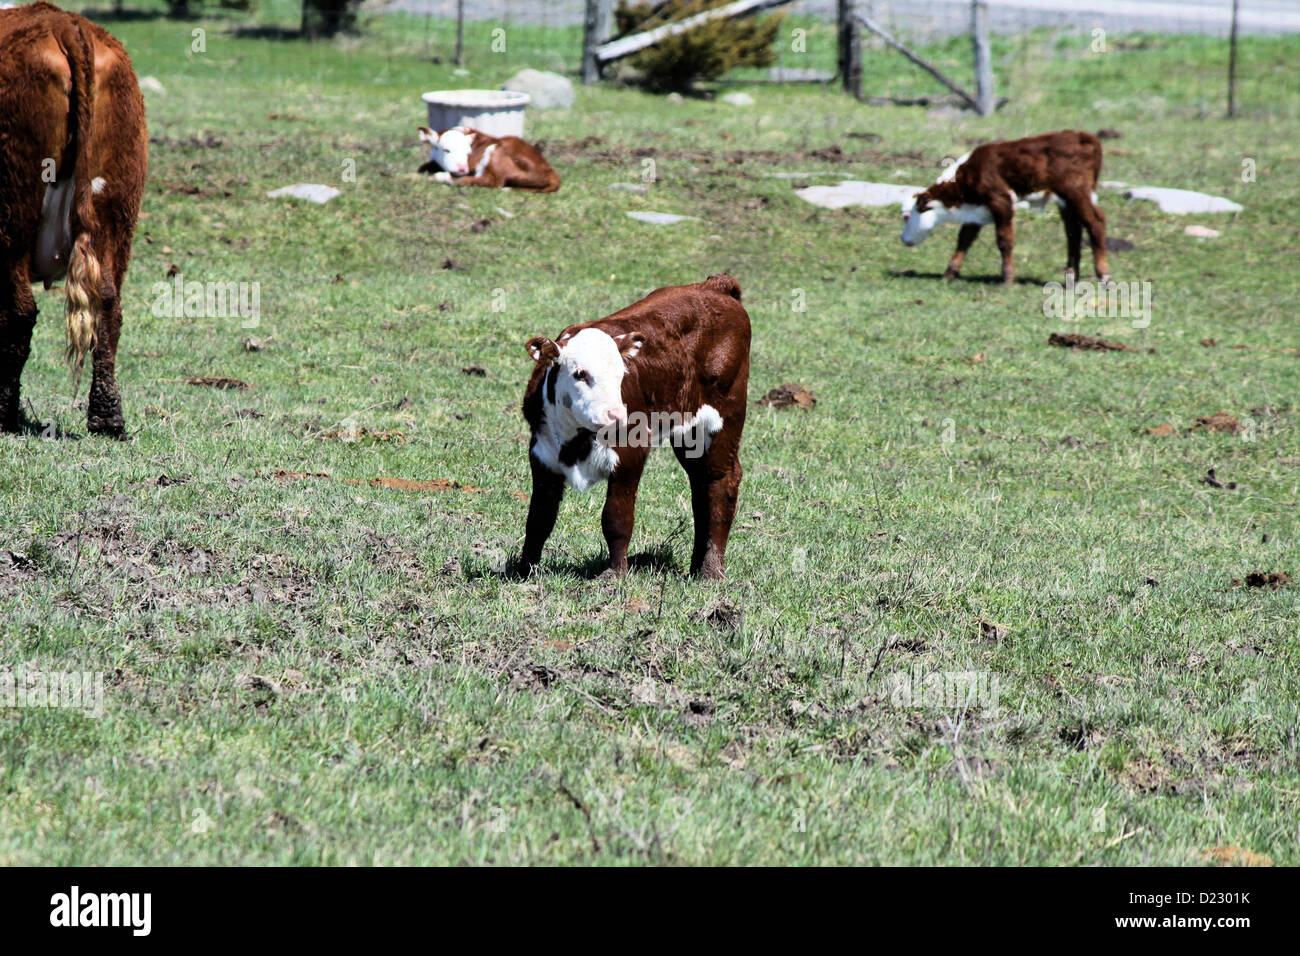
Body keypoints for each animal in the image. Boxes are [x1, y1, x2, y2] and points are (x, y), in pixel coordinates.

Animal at [0, 2, 147, 438]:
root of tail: (66, 24)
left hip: (14, 211)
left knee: (19, 310)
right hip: (116, 207)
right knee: (109, 305)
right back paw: (107, 417)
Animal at [417, 126, 560, 193]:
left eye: (468, 152)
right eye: (446, 150)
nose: (463, 169)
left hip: (495, 152)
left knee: (492, 181)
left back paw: (442, 177)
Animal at [517, 275, 750, 580]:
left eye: (621, 374)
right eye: (580, 373)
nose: (617, 415)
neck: (574, 441)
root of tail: (714, 286)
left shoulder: (631, 451)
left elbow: (616, 517)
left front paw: (614, 574)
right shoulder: (542, 454)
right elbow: (539, 519)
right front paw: (523, 570)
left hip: (725, 418)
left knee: (721, 481)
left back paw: (711, 571)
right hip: (690, 434)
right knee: (701, 486)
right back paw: (695, 567)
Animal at [900, 130, 1110, 286]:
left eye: (906, 216)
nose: (903, 239)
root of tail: (1081, 136)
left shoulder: (1000, 201)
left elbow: (1004, 240)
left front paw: (1007, 279)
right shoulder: (977, 209)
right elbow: (964, 240)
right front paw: (949, 273)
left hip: (1076, 192)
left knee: (1095, 222)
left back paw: (1103, 275)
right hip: (1066, 201)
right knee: (1073, 231)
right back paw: (1072, 276)